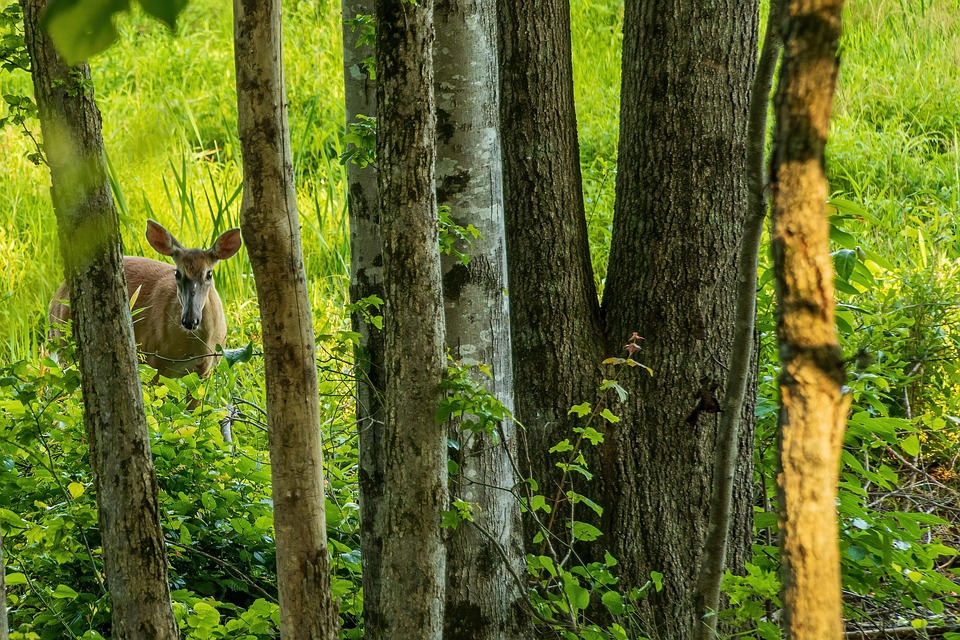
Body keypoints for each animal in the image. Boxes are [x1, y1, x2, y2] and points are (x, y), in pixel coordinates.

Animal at [49, 219, 243, 381]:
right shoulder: (154, 361)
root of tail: (55, 299)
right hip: (64, 341)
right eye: (177, 273)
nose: (190, 320)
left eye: (209, 273)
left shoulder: (205, 370)